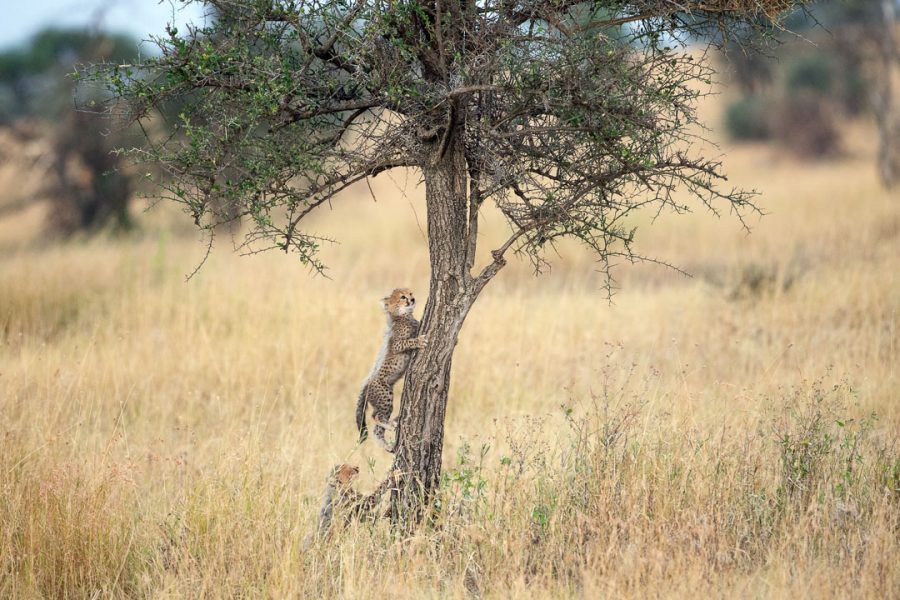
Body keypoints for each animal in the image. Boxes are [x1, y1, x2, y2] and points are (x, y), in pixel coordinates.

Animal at [355, 287, 428, 452]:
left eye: (410, 294)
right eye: (402, 297)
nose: (412, 300)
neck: (403, 316)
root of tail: (366, 383)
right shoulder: (397, 344)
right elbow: (408, 341)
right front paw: (419, 341)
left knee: (376, 429)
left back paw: (387, 445)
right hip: (385, 396)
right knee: (375, 416)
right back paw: (390, 426)